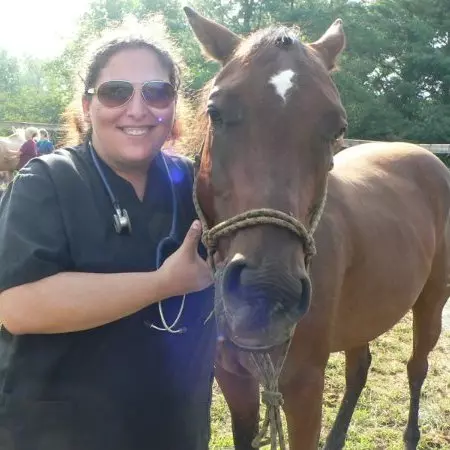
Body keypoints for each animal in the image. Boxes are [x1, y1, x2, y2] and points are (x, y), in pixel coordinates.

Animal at [185, 7, 450, 450]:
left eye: (337, 127)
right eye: (215, 112)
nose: (267, 289)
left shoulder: (304, 388)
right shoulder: (232, 379)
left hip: (431, 302)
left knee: (417, 368)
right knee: (359, 367)